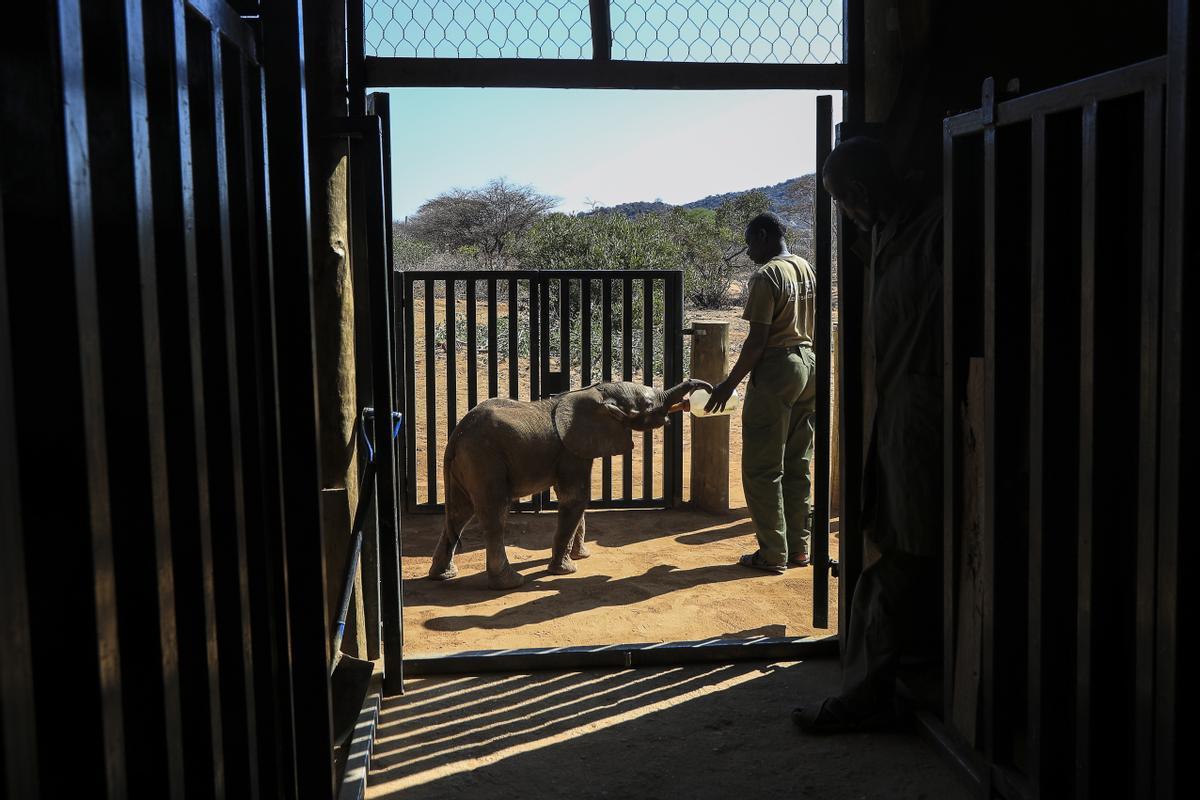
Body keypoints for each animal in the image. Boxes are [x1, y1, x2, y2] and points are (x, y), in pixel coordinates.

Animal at [428, 378, 712, 589]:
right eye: (649, 404)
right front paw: (566, 570)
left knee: (459, 513)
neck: (597, 392)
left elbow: (577, 503)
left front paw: (581, 557)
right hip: (485, 459)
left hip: (467, 463)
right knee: (494, 514)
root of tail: (456, 435)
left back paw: (442, 576)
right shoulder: (571, 450)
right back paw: (511, 583)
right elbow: (575, 497)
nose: (705, 389)